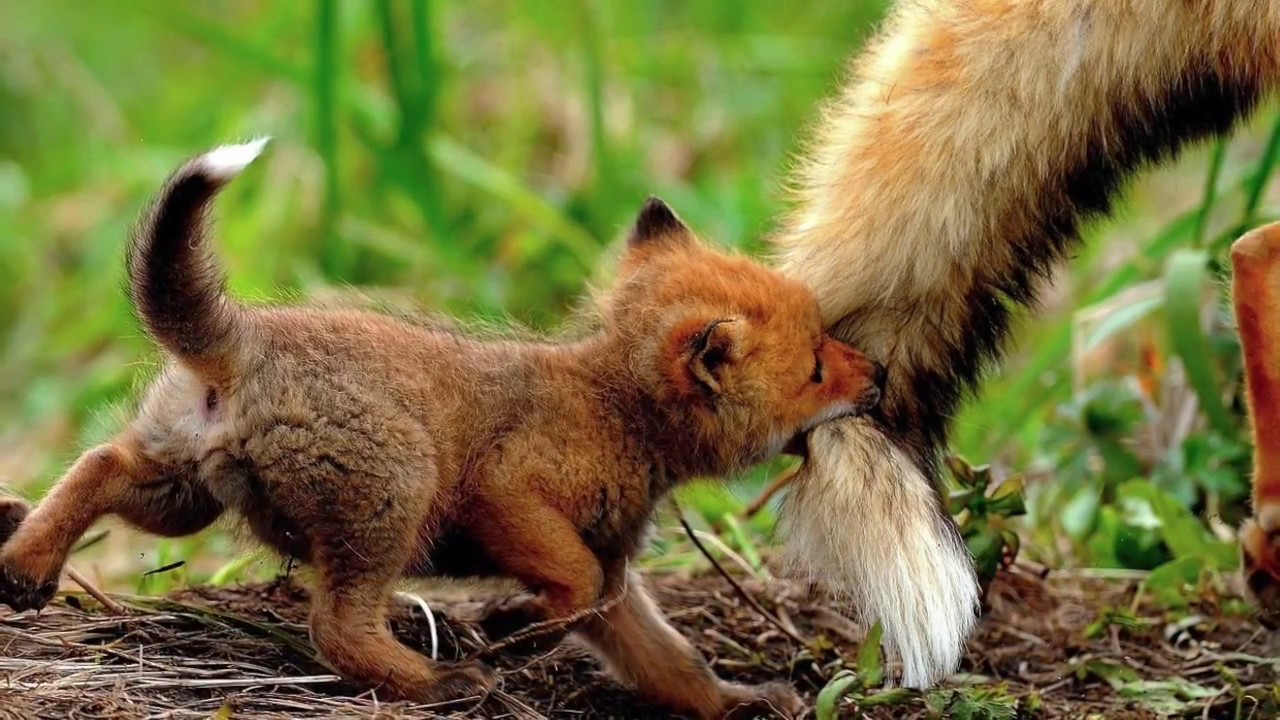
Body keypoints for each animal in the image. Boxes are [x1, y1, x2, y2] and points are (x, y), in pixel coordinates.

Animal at [0, 140, 888, 719]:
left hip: (182, 491)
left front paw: (738, 700)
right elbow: (568, 583)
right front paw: (509, 631)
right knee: (336, 628)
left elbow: (671, 664)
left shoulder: (615, 578)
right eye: (817, 366)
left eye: (827, 344)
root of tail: (245, 338)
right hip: (394, 497)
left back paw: (24, 564)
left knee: (98, 462)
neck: (615, 409)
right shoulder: (510, 494)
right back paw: (439, 686)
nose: (880, 375)